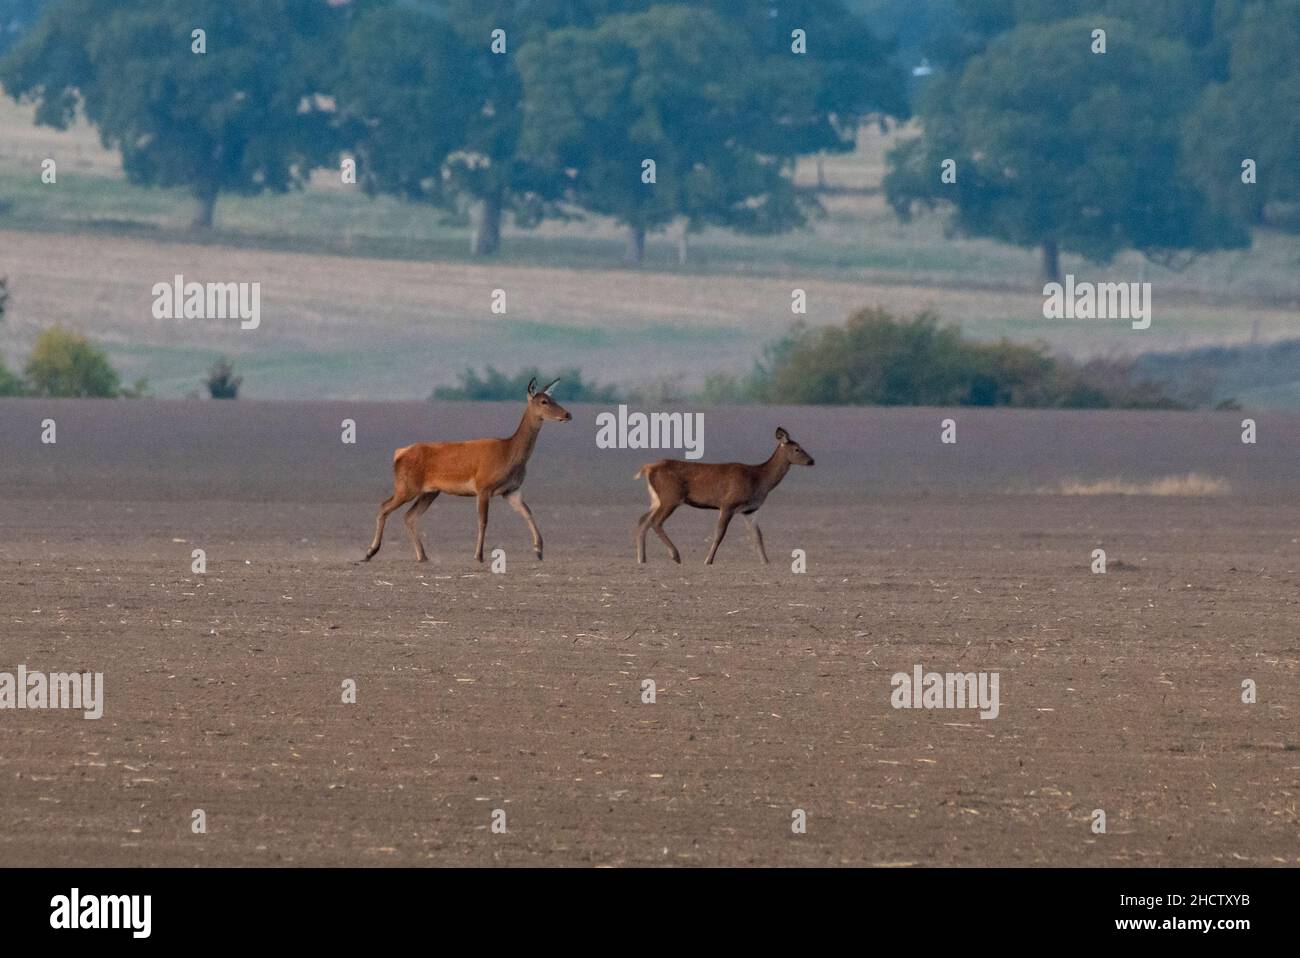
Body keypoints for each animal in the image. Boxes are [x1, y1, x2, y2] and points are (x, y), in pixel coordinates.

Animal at [363, 377, 572, 563]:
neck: (509, 454)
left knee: (409, 516)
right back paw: (370, 552)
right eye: (544, 401)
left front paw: (539, 551)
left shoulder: (511, 490)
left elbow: (527, 512)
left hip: (429, 492)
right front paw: (478, 556)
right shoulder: (483, 487)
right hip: (406, 487)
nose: (568, 414)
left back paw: (422, 556)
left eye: (553, 397)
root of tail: (398, 453)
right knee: (384, 507)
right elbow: (483, 520)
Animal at [634, 427, 814, 565]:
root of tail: (647, 468)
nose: (811, 461)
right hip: (670, 497)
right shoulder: (728, 503)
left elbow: (757, 536)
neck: (759, 480)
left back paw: (642, 558)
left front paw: (766, 561)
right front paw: (708, 560)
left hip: (656, 500)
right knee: (655, 522)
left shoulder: (750, 510)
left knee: (643, 520)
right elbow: (719, 533)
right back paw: (675, 555)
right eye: (797, 449)